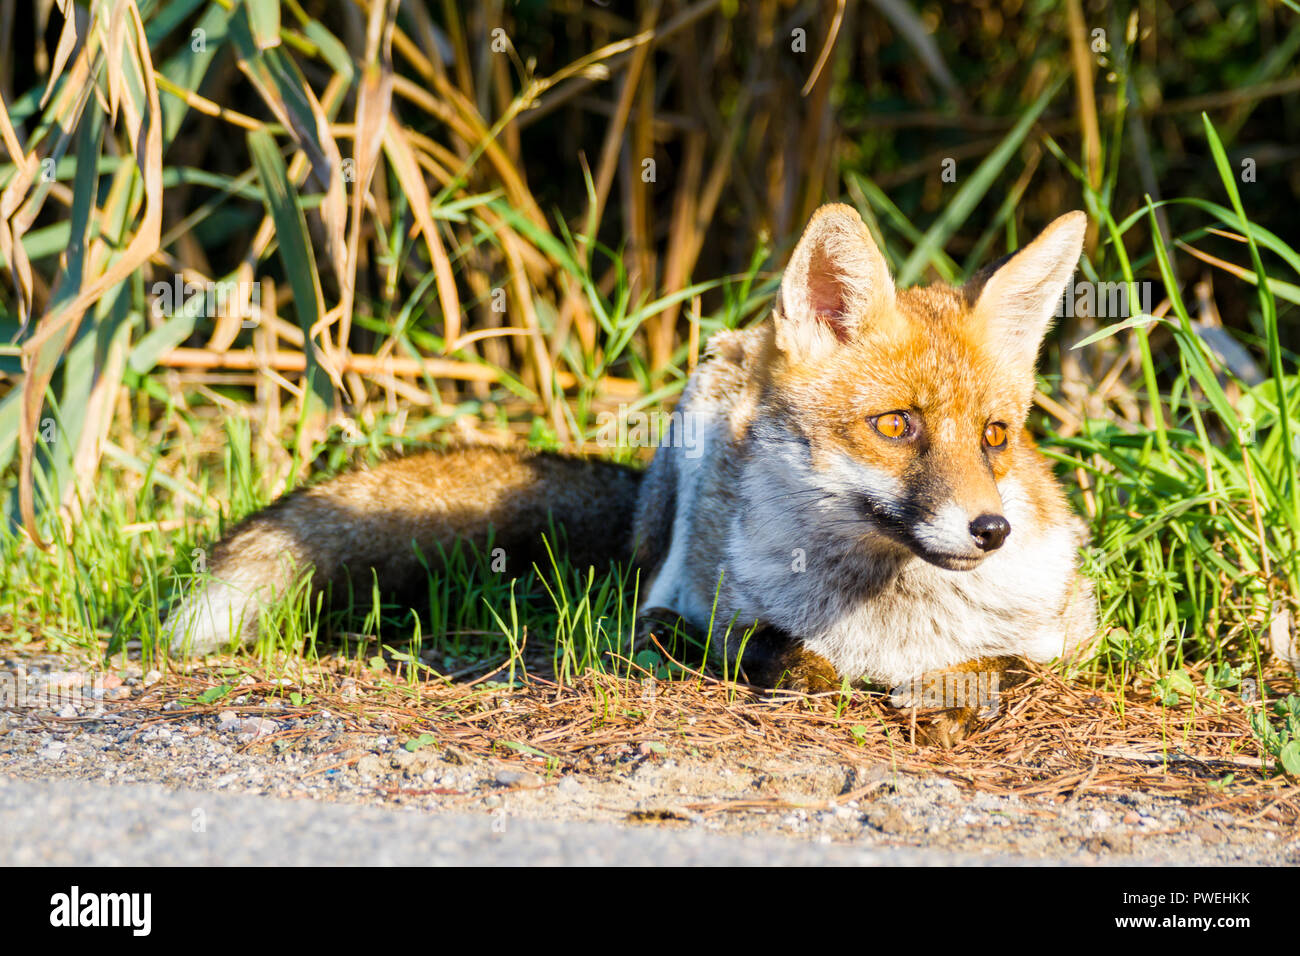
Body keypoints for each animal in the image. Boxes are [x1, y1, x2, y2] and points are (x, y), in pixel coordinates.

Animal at [164, 203, 1097, 745]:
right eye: (897, 426)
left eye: (996, 435)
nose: (990, 529)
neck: (890, 618)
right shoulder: (740, 611)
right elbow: (778, 649)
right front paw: (815, 673)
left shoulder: (1076, 630)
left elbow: (1012, 664)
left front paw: (952, 690)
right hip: (693, 444)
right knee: (646, 608)